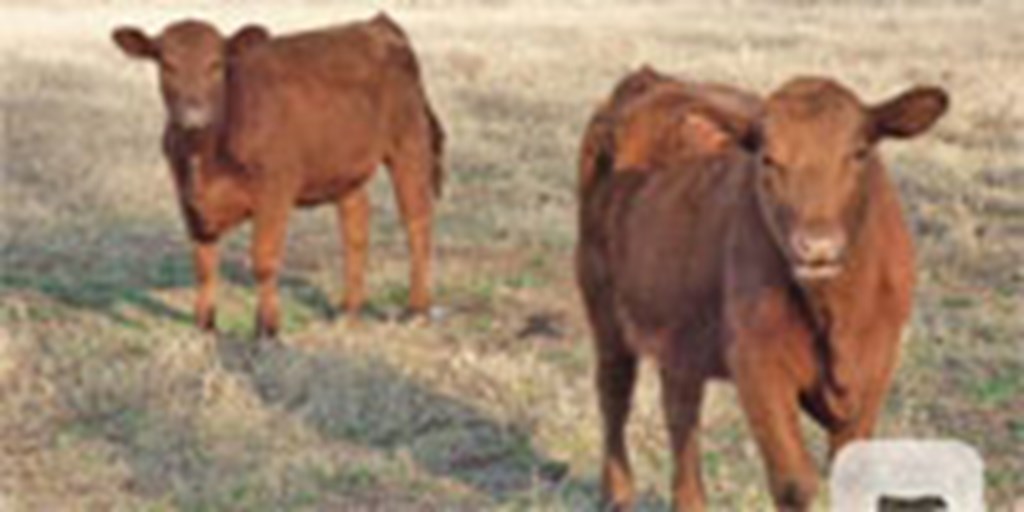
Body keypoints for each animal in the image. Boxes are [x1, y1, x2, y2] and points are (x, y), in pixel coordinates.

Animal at [113, 13, 445, 338]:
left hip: (409, 143)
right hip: (344, 168)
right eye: (166, 64)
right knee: (356, 229)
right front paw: (205, 325)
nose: (194, 114)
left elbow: (263, 260)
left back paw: (417, 310)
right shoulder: (189, 198)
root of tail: (375, 23)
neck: (204, 153)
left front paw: (267, 328)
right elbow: (203, 264)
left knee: (417, 222)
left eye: (216, 64)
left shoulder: (275, 190)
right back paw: (348, 309)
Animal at [576, 66, 947, 511]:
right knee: (614, 393)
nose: (817, 246)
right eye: (768, 159)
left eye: (859, 153)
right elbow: (794, 483)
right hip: (603, 308)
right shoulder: (757, 365)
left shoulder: (877, 361)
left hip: (679, 328)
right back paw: (616, 493)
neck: (833, 313)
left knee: (681, 411)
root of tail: (650, 78)